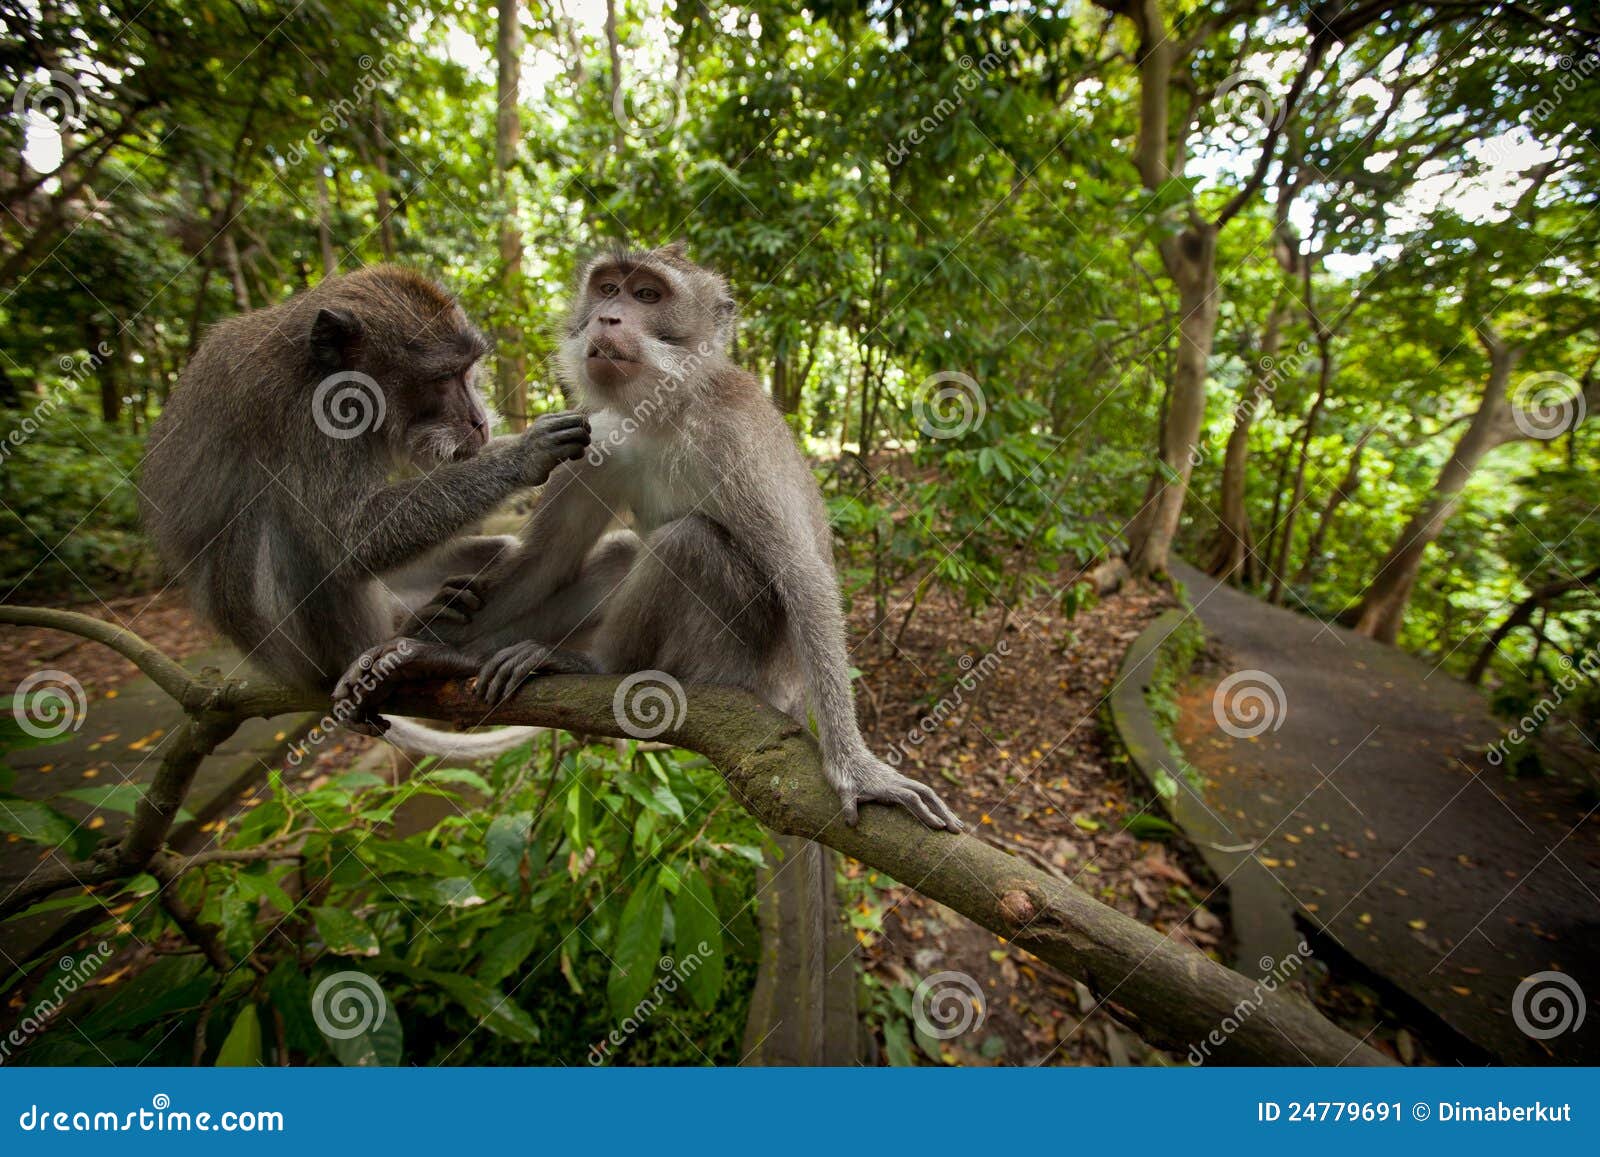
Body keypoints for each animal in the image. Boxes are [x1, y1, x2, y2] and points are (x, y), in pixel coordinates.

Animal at [140, 264, 591, 756]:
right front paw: (525, 453)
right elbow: (352, 538)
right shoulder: (309, 417)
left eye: (468, 371)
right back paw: (399, 647)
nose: (479, 422)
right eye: (443, 378)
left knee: (493, 550)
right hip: (290, 645)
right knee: (291, 535)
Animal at [338, 245, 962, 831]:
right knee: (622, 552)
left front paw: (857, 768)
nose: (607, 318)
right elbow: (546, 562)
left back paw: (597, 664)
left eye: (647, 295)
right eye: (607, 289)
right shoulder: (599, 435)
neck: (666, 409)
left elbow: (802, 576)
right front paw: (425, 650)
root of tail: (781, 693)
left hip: (730, 665)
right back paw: (463, 658)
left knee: (685, 542)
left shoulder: (735, 434)